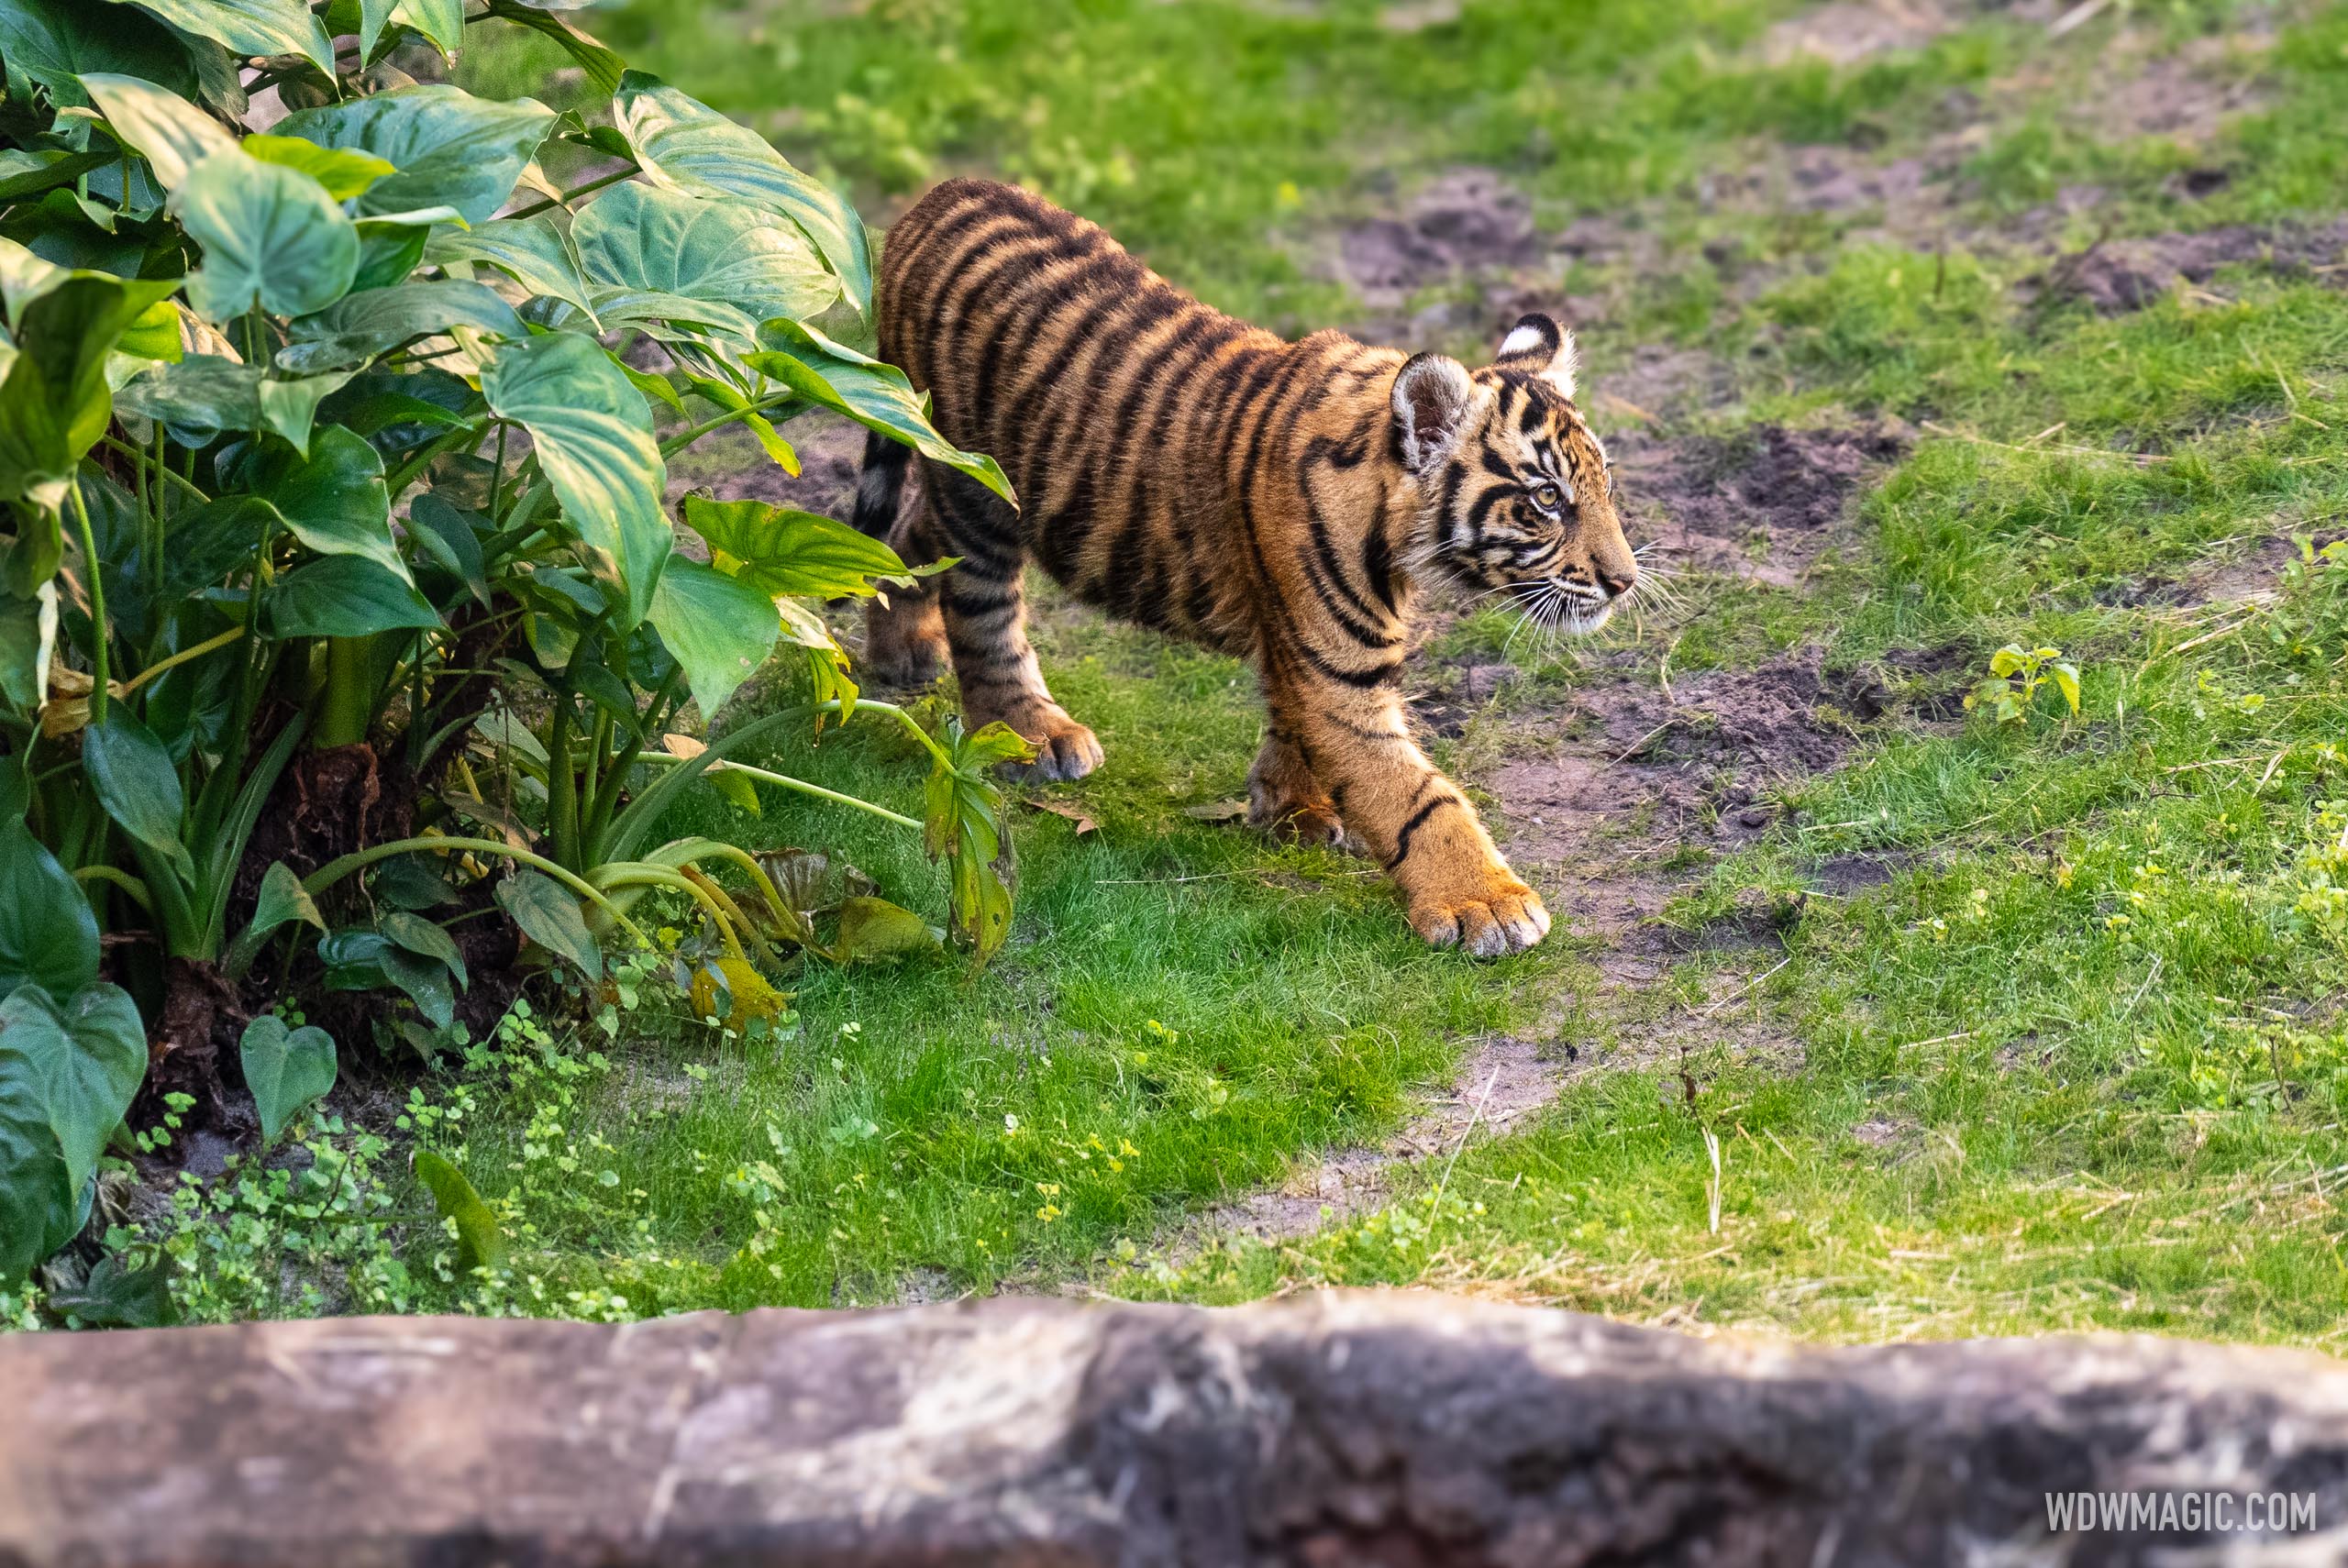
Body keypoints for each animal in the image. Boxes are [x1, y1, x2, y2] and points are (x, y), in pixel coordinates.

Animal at [848, 177, 1639, 957]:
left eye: (1602, 484)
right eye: (1546, 498)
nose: (1624, 581)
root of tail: (938, 194)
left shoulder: (1302, 644)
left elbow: (1293, 724)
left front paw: (1290, 809)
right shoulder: (1339, 673)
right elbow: (1417, 795)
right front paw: (1489, 902)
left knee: (910, 535)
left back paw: (906, 650)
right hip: (976, 486)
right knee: (981, 606)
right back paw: (1033, 733)